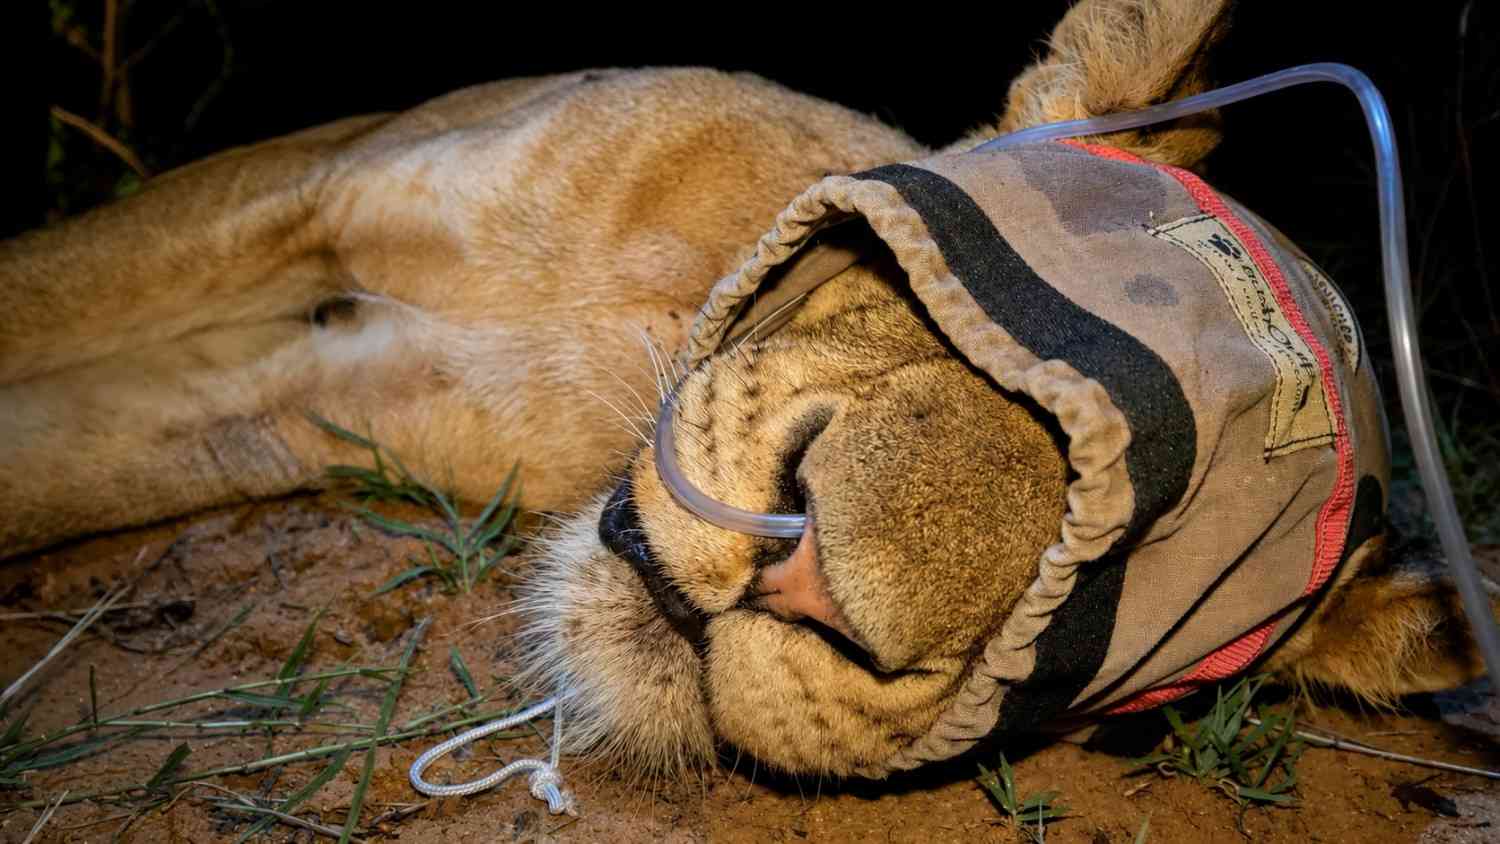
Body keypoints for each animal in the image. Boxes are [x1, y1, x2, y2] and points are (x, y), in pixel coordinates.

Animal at [2, 0, 1493, 782]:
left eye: (1109, 603)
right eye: (947, 297)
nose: (810, 580)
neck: (647, 321)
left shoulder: (274, 412)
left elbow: (55, 460)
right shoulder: (317, 184)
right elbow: (44, 290)